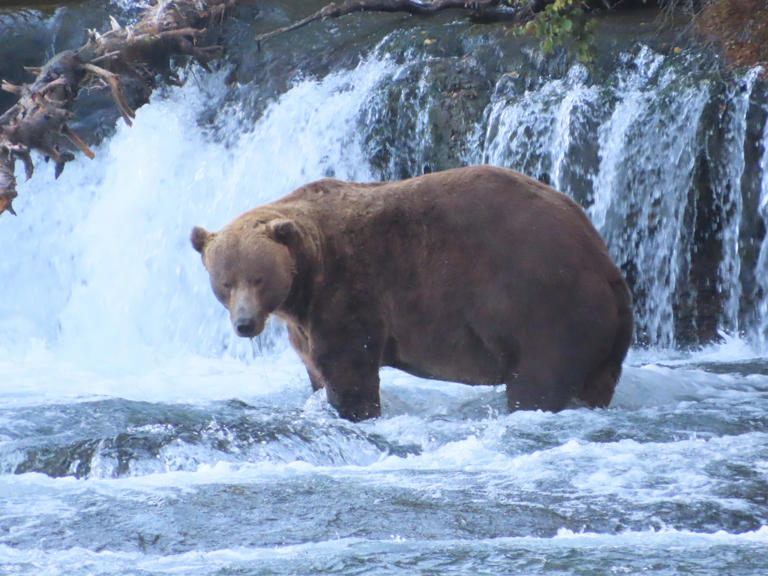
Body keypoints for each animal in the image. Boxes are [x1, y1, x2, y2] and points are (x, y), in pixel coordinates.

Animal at [191, 165, 633, 421]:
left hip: (543, 305)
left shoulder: (350, 292)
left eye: (258, 278)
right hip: (602, 332)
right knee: (597, 381)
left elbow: (348, 366)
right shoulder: (303, 322)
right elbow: (315, 367)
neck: (305, 278)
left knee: (536, 382)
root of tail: (605, 262)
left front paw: (356, 411)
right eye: (225, 282)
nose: (245, 323)